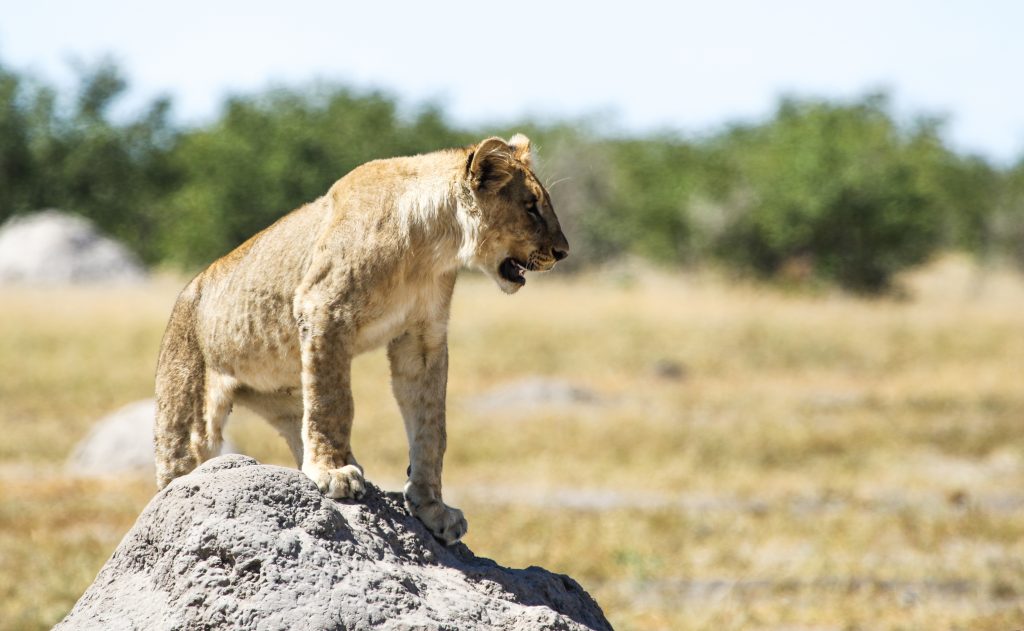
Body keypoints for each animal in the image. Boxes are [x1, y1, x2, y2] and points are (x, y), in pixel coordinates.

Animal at [153, 135, 569, 544]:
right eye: (531, 207)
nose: (563, 252)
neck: (432, 247)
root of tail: (185, 295)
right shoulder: (323, 309)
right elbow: (335, 403)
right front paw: (333, 473)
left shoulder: (423, 337)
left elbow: (431, 426)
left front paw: (432, 508)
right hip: (187, 417)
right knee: (181, 463)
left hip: (286, 399)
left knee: (302, 425)